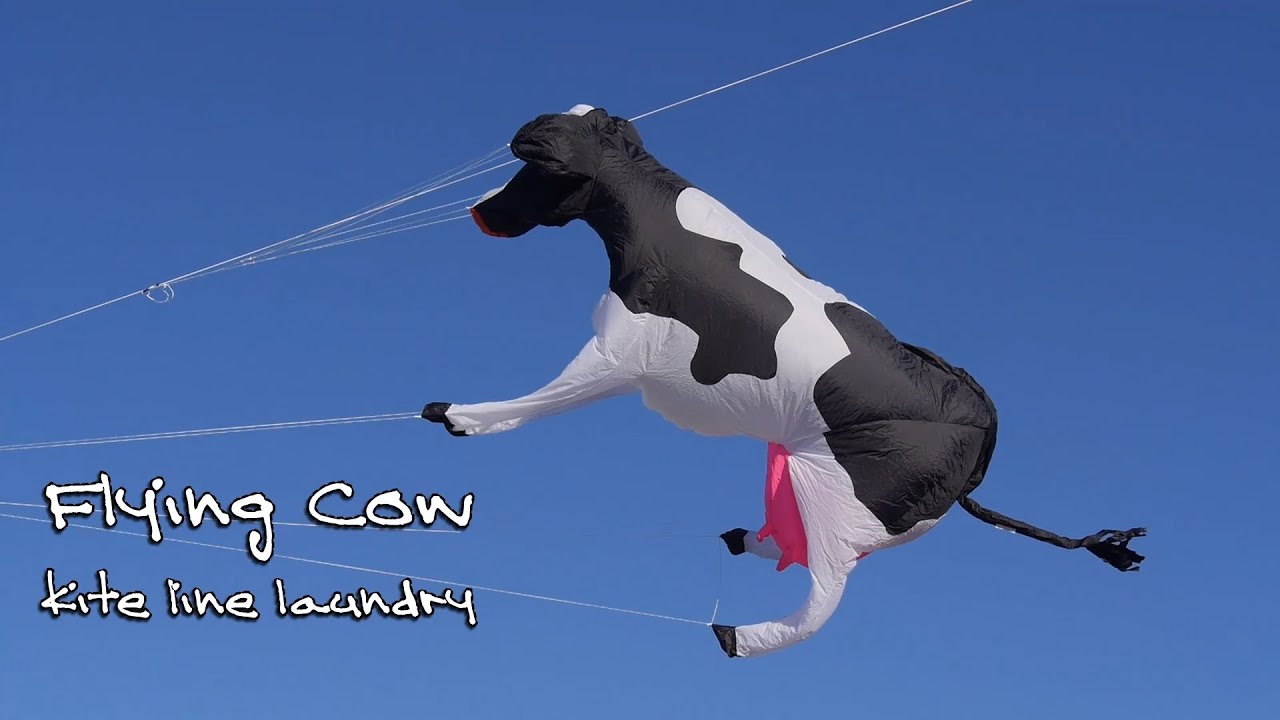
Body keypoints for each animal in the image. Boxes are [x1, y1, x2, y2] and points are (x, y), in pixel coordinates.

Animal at [422, 104, 1145, 658]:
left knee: (826, 597)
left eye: (533, 166)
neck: (654, 220)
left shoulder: (623, 348)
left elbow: (551, 395)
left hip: (843, 500)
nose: (478, 210)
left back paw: (739, 635)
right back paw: (749, 540)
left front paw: (460, 414)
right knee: (804, 556)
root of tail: (982, 419)